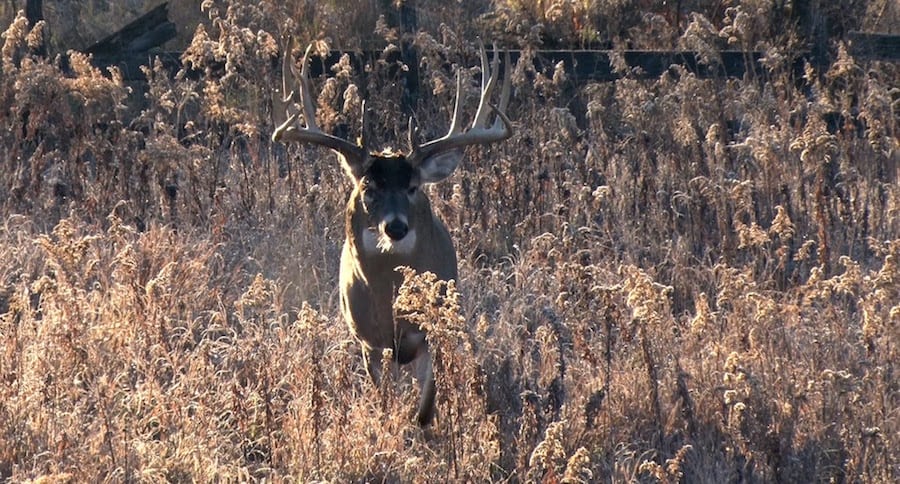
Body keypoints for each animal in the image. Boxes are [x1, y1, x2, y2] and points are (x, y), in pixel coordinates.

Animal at [272, 42, 513, 426]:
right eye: (368, 187)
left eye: (413, 186)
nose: (396, 227)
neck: (390, 306)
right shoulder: (368, 340)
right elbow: (383, 399)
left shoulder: (430, 331)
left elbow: (427, 407)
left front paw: (423, 426)